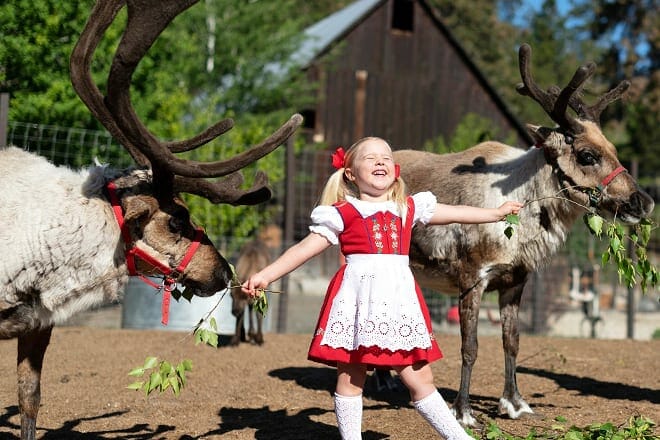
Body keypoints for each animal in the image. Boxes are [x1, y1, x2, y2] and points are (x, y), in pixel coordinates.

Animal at [393, 43, 654, 427]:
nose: (645, 202)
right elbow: (470, 347)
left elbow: (512, 341)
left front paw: (515, 403)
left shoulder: (516, 279)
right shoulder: (472, 277)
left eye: (614, 150)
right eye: (587, 155)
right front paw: (463, 411)